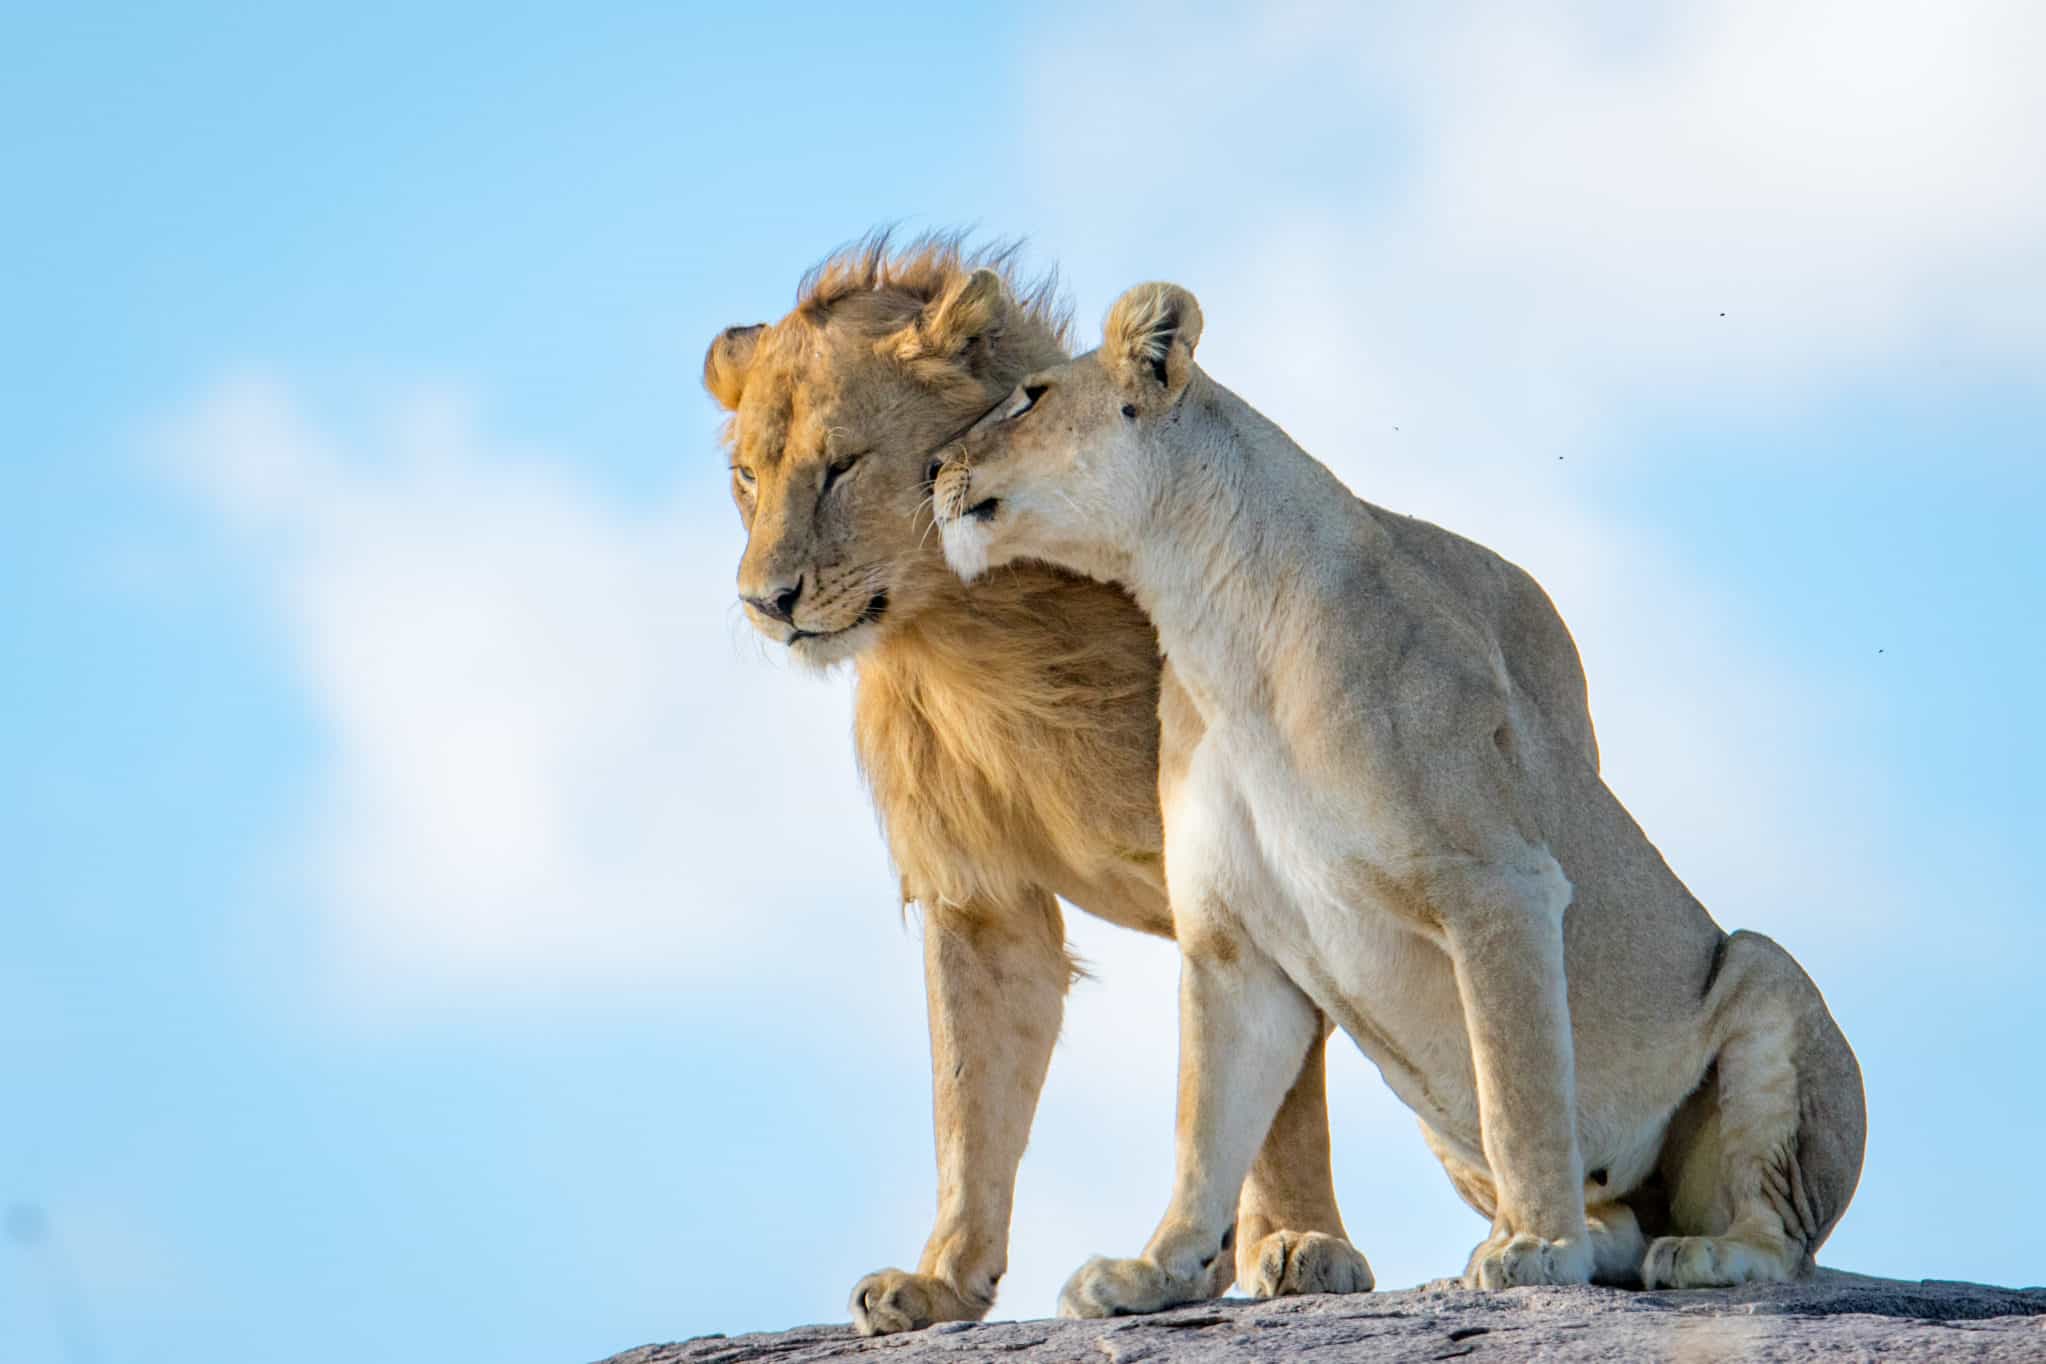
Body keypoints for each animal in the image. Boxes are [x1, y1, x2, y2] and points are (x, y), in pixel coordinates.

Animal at [930, 280, 1866, 1317]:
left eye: (1030, 398)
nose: (931, 467)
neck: (1213, 627)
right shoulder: (1235, 943)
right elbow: (1206, 1121)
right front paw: (1154, 1272)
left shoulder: (1498, 880)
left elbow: (1519, 1083)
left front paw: (1536, 1246)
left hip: (1764, 972)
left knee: (1780, 1234)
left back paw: (1698, 1255)